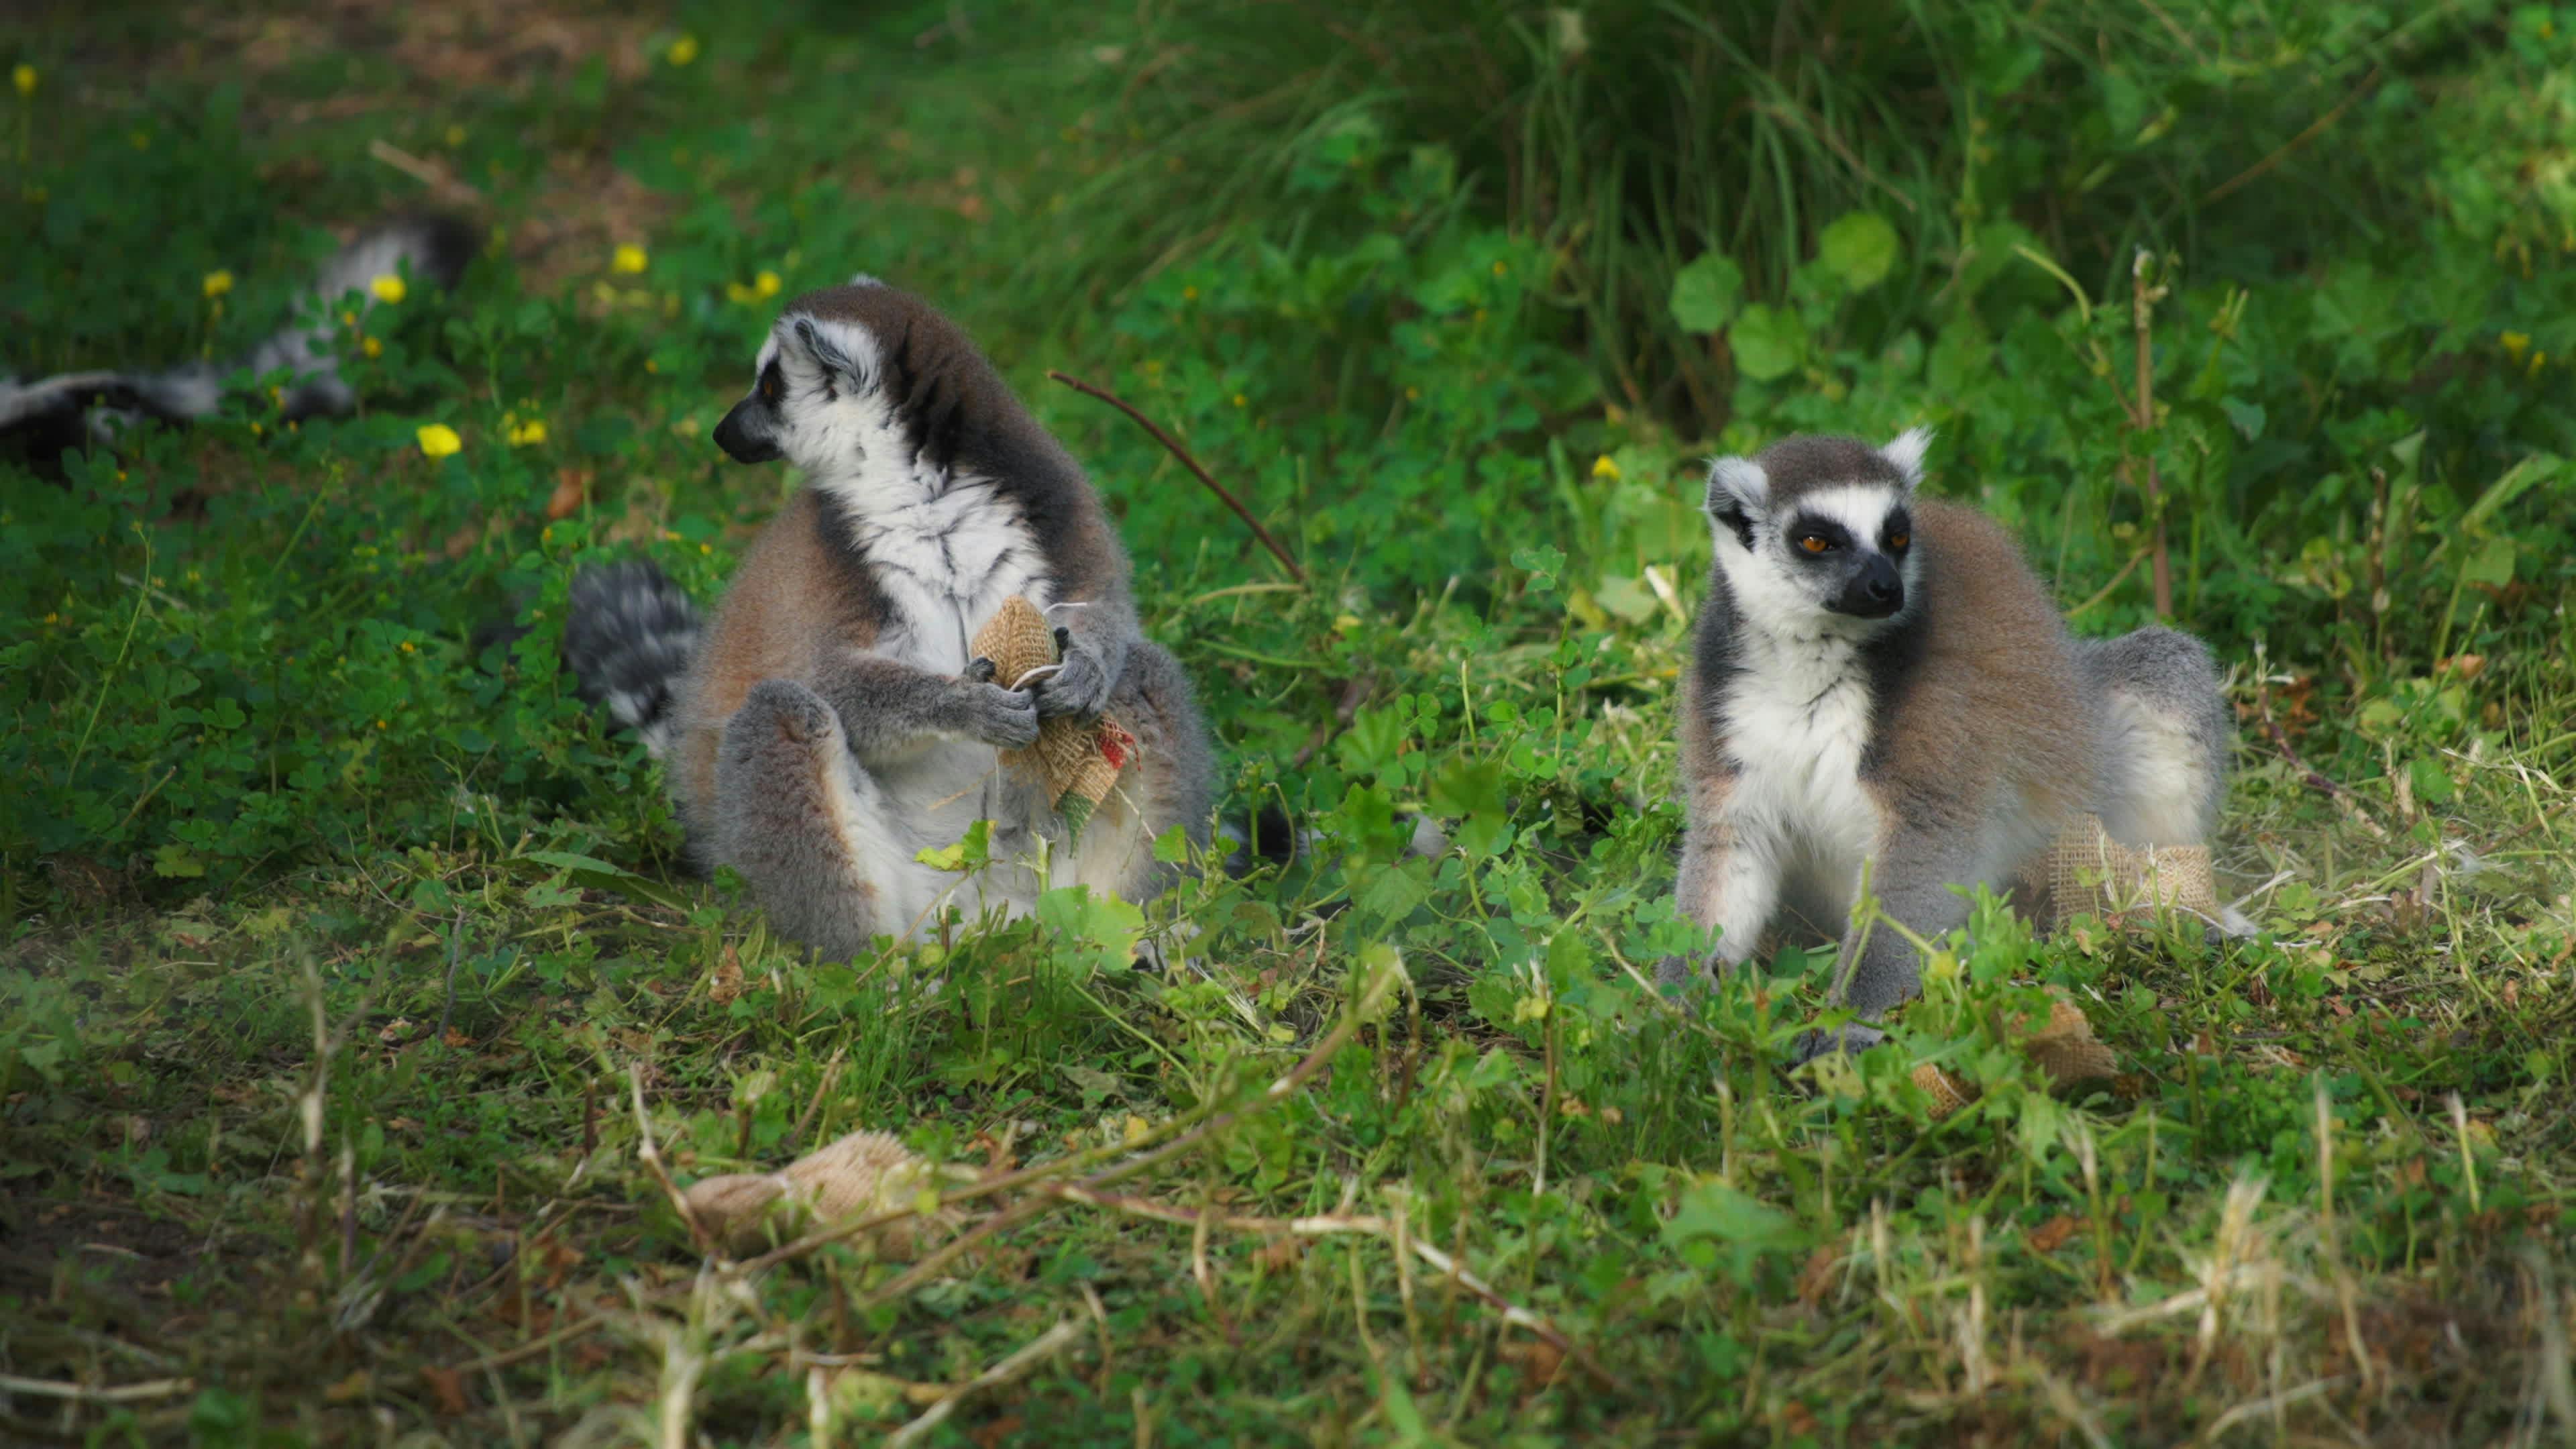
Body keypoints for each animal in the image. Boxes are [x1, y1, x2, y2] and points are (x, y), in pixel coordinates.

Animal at [563, 276, 1214, 959]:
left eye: (769, 387)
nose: (722, 432)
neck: (924, 490)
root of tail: (988, 908)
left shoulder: (1051, 497)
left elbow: (1104, 607)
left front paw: (1084, 668)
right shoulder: (821, 557)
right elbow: (828, 679)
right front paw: (961, 706)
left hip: (1049, 868)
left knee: (1142, 672)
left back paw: (1137, 941)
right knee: (780, 711)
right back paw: (879, 970)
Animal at [1659, 430, 2232, 1057]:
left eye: (1896, 535)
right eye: (1816, 540)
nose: (1886, 587)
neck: (1809, 663)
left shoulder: (1936, 716)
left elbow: (1925, 849)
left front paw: (1846, 1025)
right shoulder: (1724, 703)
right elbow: (1731, 841)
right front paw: (1673, 1015)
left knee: (2165, 674)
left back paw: (2188, 913)